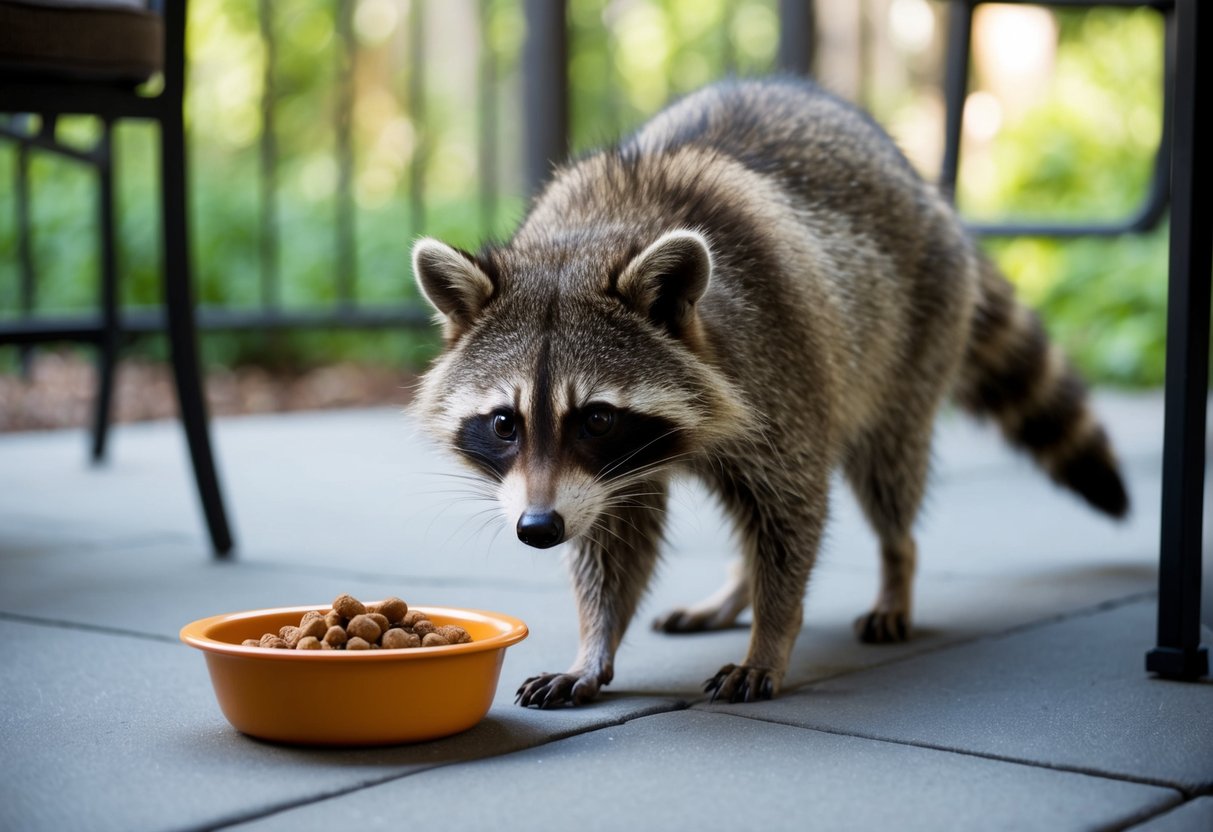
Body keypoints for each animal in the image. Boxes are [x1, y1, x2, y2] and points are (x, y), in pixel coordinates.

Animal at [409, 78, 1128, 707]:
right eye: (504, 423)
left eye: (596, 419)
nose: (538, 529)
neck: (595, 231)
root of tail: (929, 191)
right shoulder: (605, 479)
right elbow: (612, 541)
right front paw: (595, 642)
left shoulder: (777, 371)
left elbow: (793, 509)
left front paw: (771, 635)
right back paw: (736, 591)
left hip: (914, 338)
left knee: (887, 472)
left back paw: (894, 570)